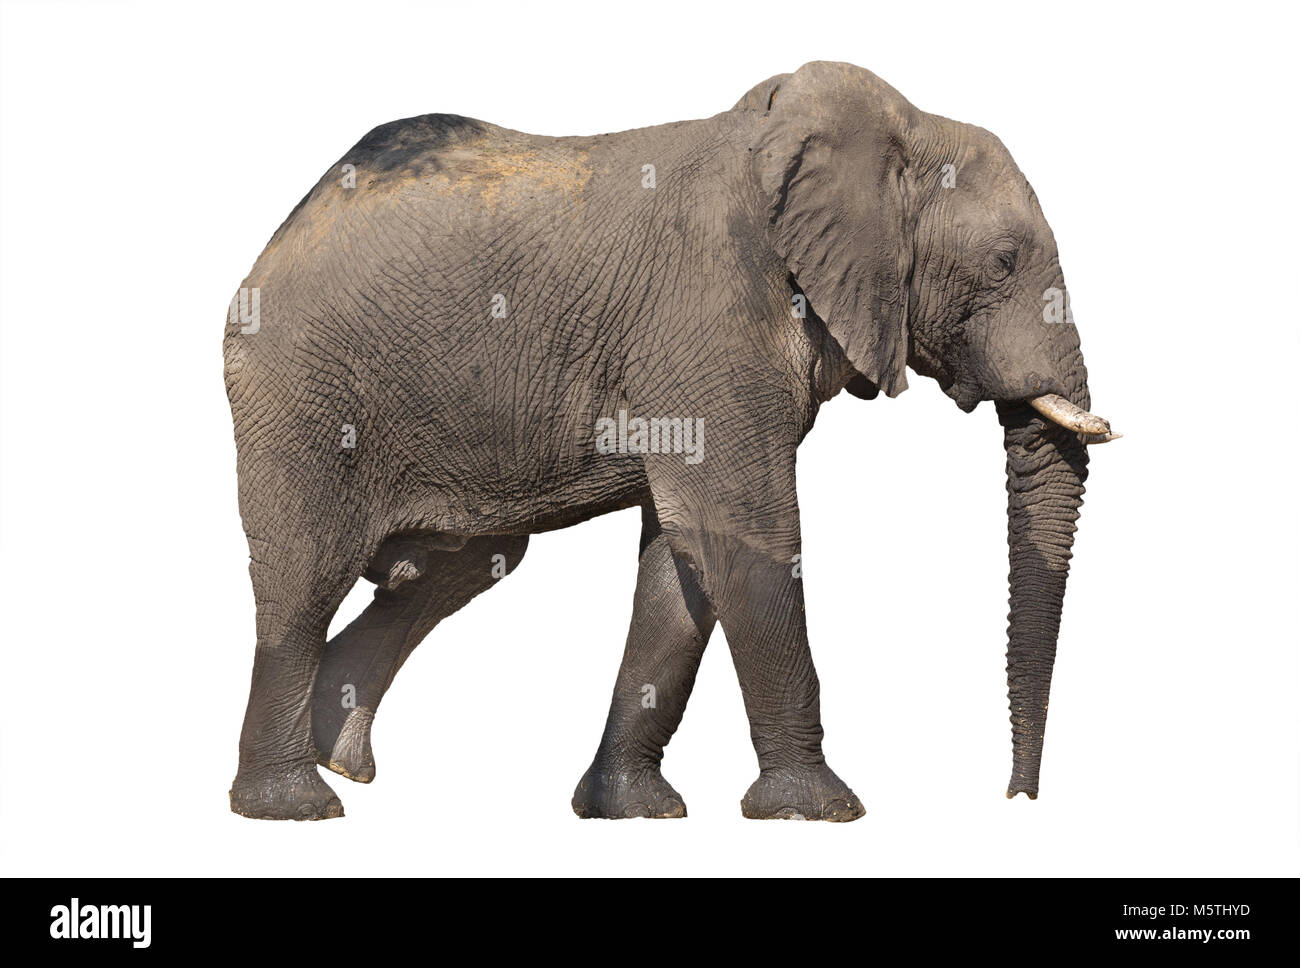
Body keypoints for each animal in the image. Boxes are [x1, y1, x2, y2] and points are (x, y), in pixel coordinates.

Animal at [223, 60, 1116, 822]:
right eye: (1003, 262)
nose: (1015, 800)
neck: (899, 127)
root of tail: (282, 232)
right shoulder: (709, 313)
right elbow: (744, 536)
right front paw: (819, 811)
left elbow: (681, 561)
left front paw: (633, 813)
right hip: (301, 394)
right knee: (306, 575)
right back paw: (295, 805)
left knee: (451, 570)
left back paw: (338, 760)